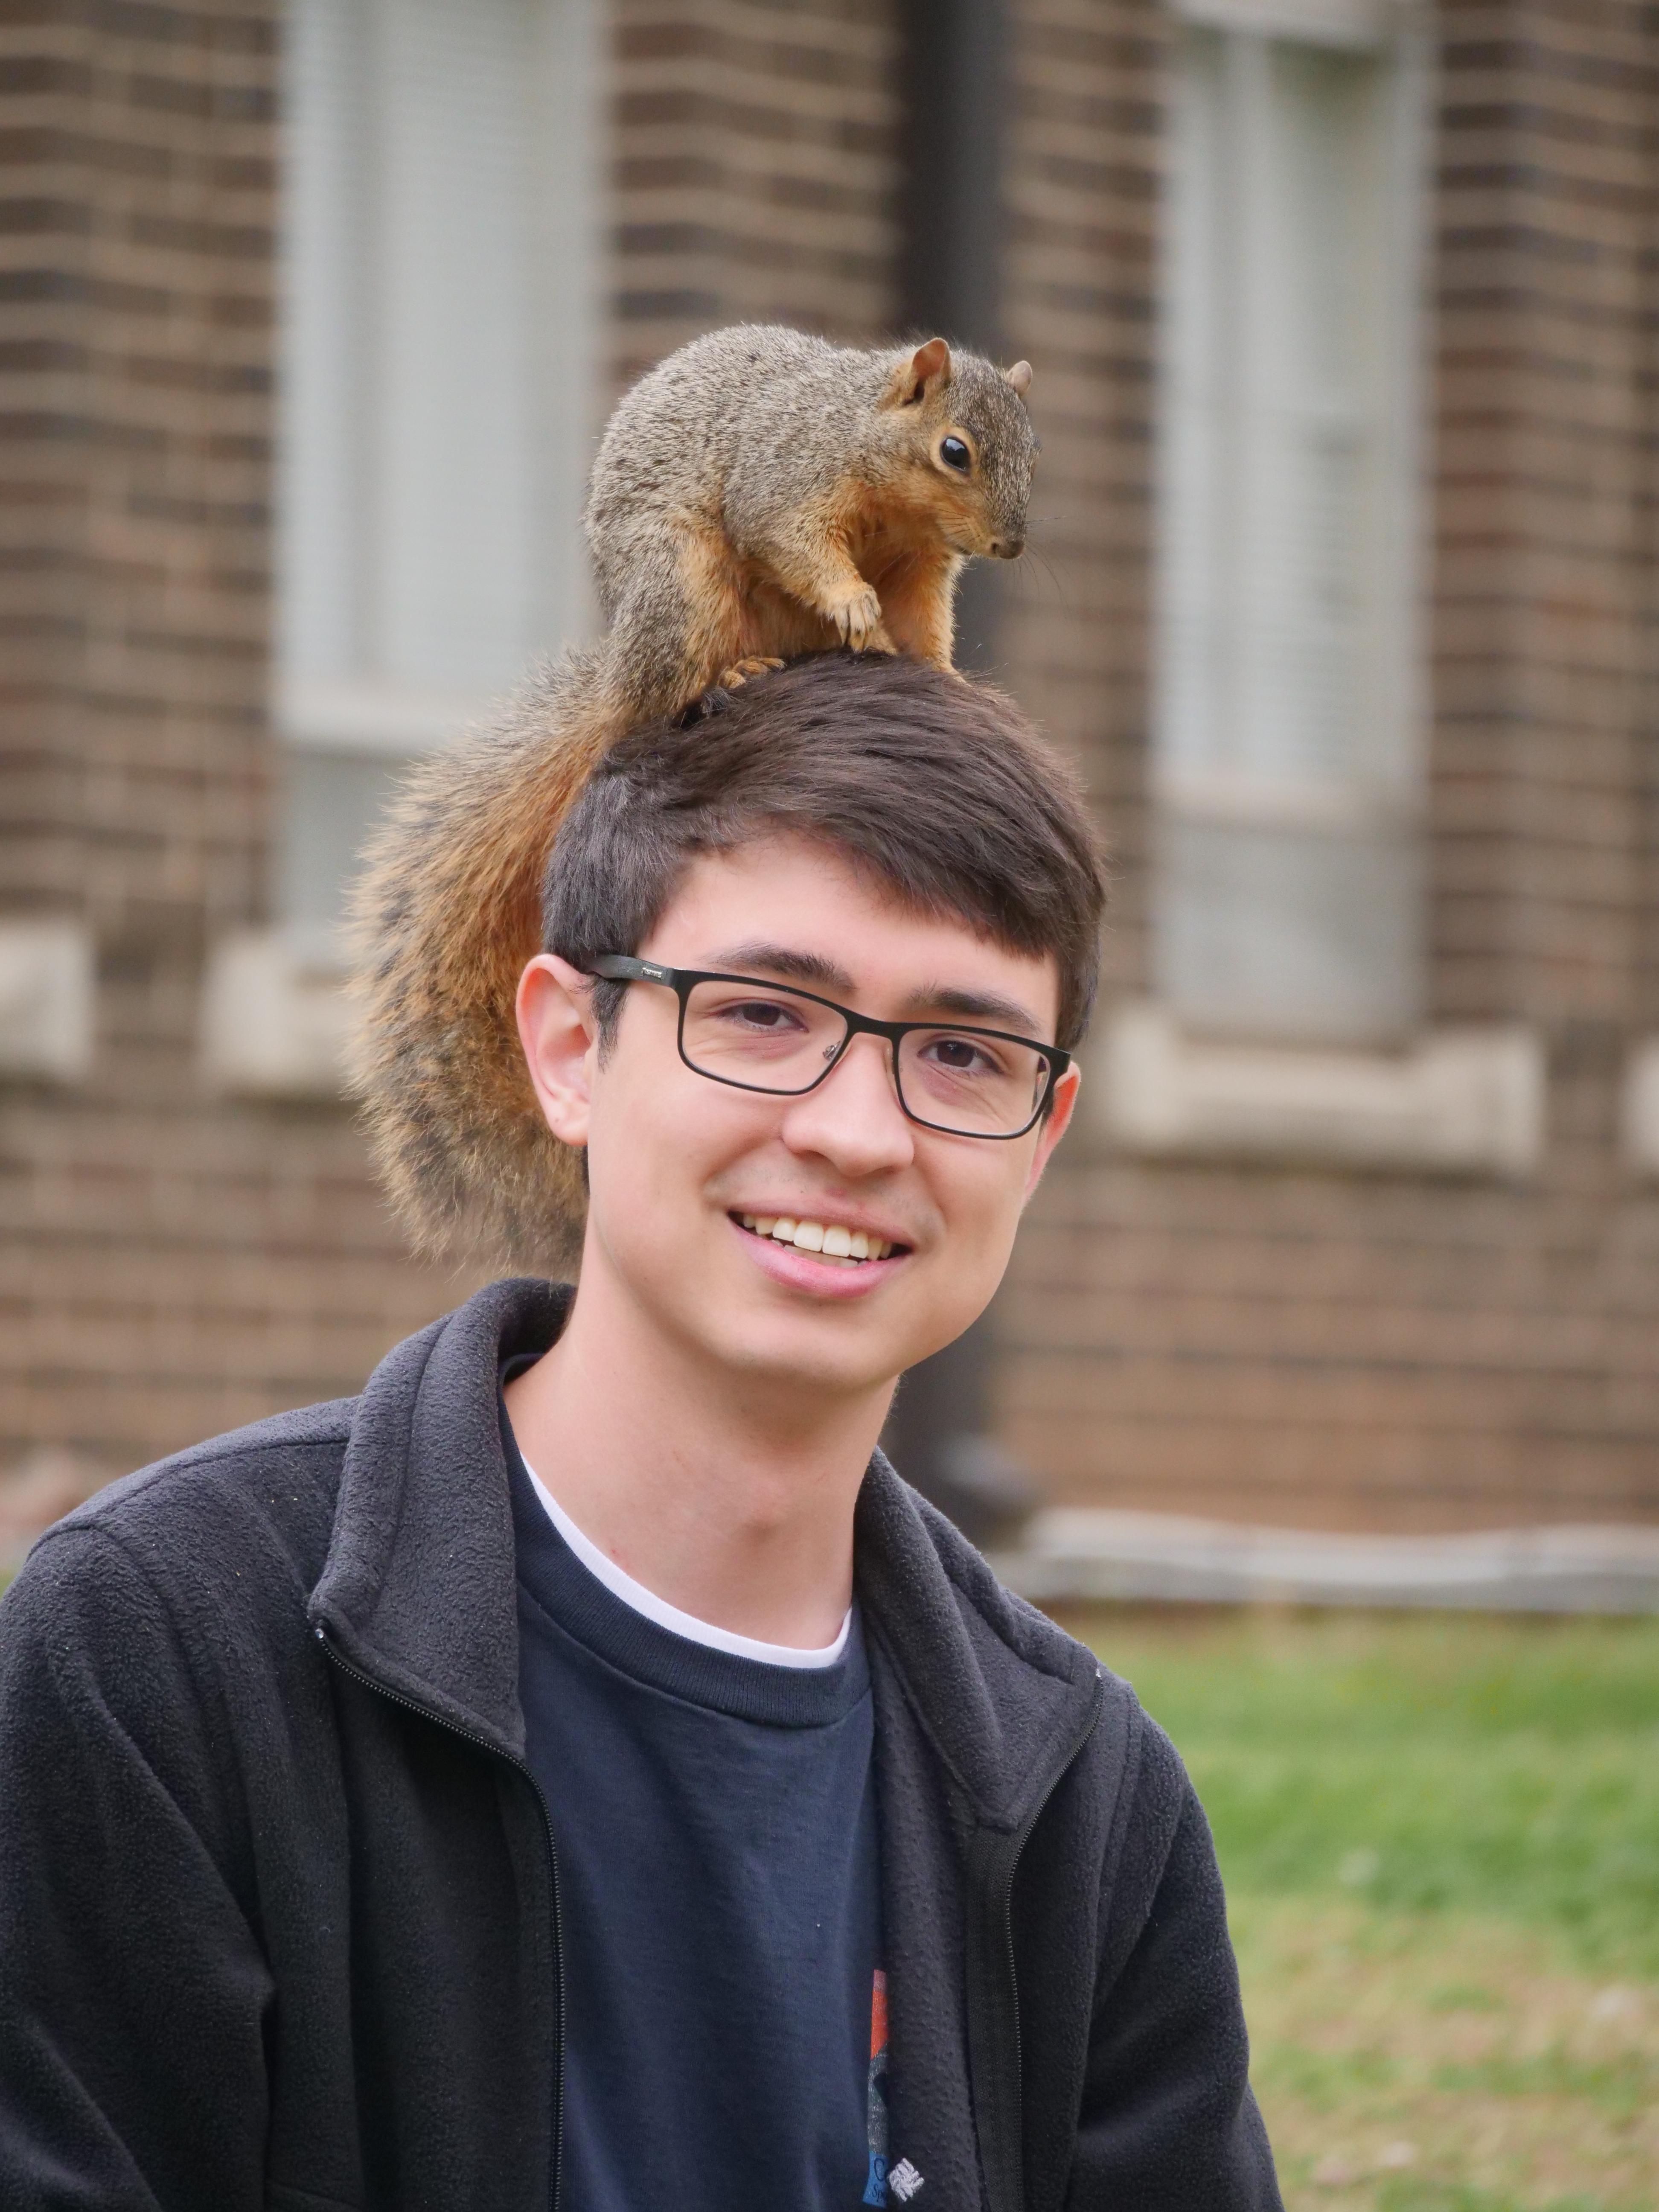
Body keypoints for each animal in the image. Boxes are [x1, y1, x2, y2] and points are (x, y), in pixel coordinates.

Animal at [348, 323, 1038, 1271]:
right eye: (956, 451)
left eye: (1033, 451)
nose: (1010, 545)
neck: (876, 463)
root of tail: (618, 679)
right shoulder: (786, 474)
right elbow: (790, 538)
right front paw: (852, 603)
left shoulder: (925, 566)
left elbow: (924, 626)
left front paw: (943, 676)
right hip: (683, 587)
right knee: (667, 690)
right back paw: (726, 679)